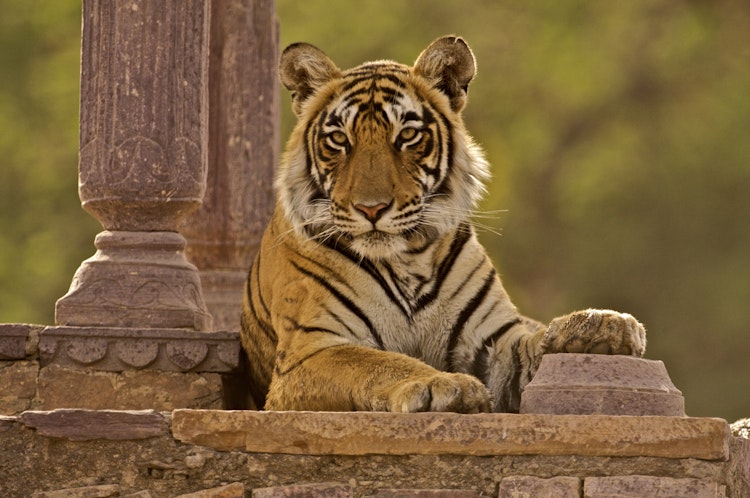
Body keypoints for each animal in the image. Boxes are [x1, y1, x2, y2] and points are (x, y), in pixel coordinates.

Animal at [240, 35, 646, 413]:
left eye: (407, 136)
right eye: (339, 139)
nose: (372, 209)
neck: (407, 261)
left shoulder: (491, 341)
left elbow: (530, 347)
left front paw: (605, 325)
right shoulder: (312, 350)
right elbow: (379, 363)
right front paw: (443, 384)